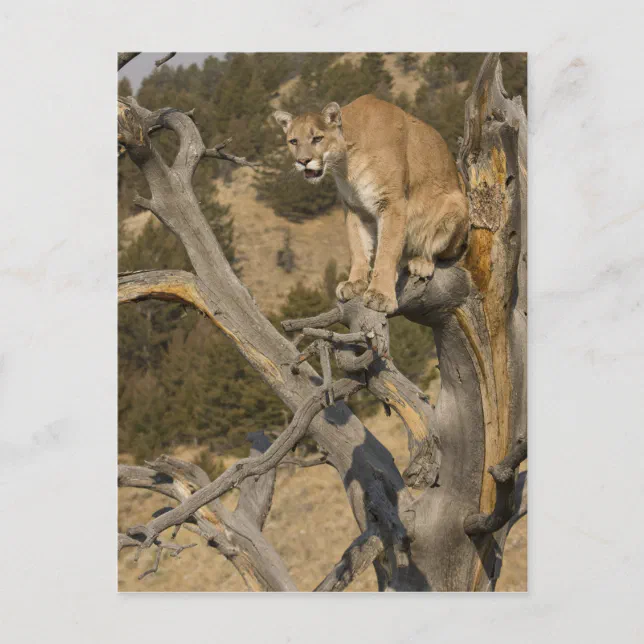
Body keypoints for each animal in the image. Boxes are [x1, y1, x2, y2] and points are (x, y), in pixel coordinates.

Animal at [273, 94, 469, 313]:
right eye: (293, 141)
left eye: (317, 138)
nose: (303, 161)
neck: (346, 162)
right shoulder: (354, 207)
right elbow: (358, 248)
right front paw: (355, 283)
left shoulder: (392, 203)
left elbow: (387, 250)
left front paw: (380, 295)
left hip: (457, 203)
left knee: (440, 250)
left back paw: (421, 262)